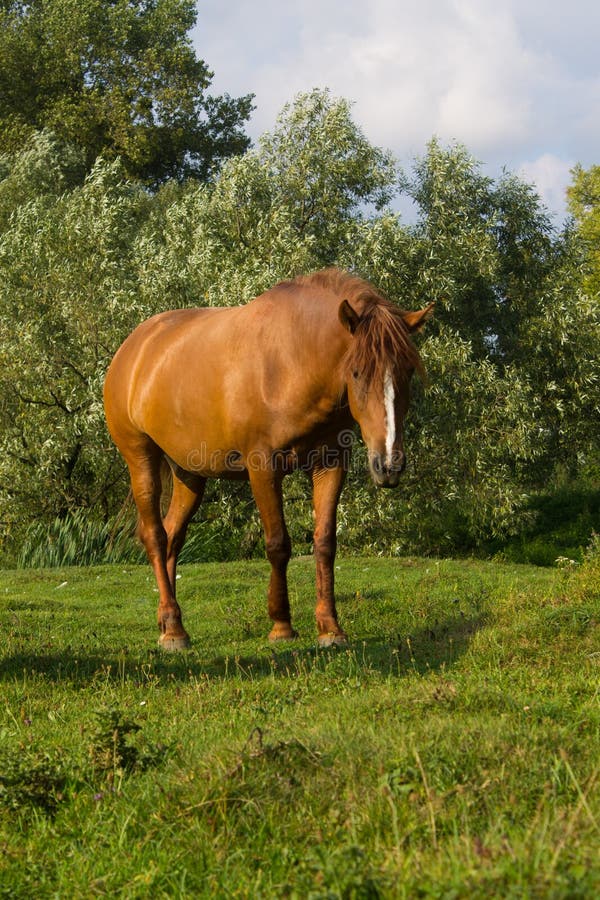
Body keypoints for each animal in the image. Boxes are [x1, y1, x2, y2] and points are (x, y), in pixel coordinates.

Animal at [103, 268, 433, 650]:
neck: (291, 362)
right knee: (156, 537)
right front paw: (281, 625)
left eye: (407, 371)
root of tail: (133, 348)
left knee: (173, 536)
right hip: (140, 458)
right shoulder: (263, 468)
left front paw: (330, 628)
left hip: (188, 473)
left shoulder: (330, 463)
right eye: (356, 372)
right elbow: (278, 544)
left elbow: (325, 543)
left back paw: (170, 625)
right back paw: (173, 629)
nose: (389, 464)